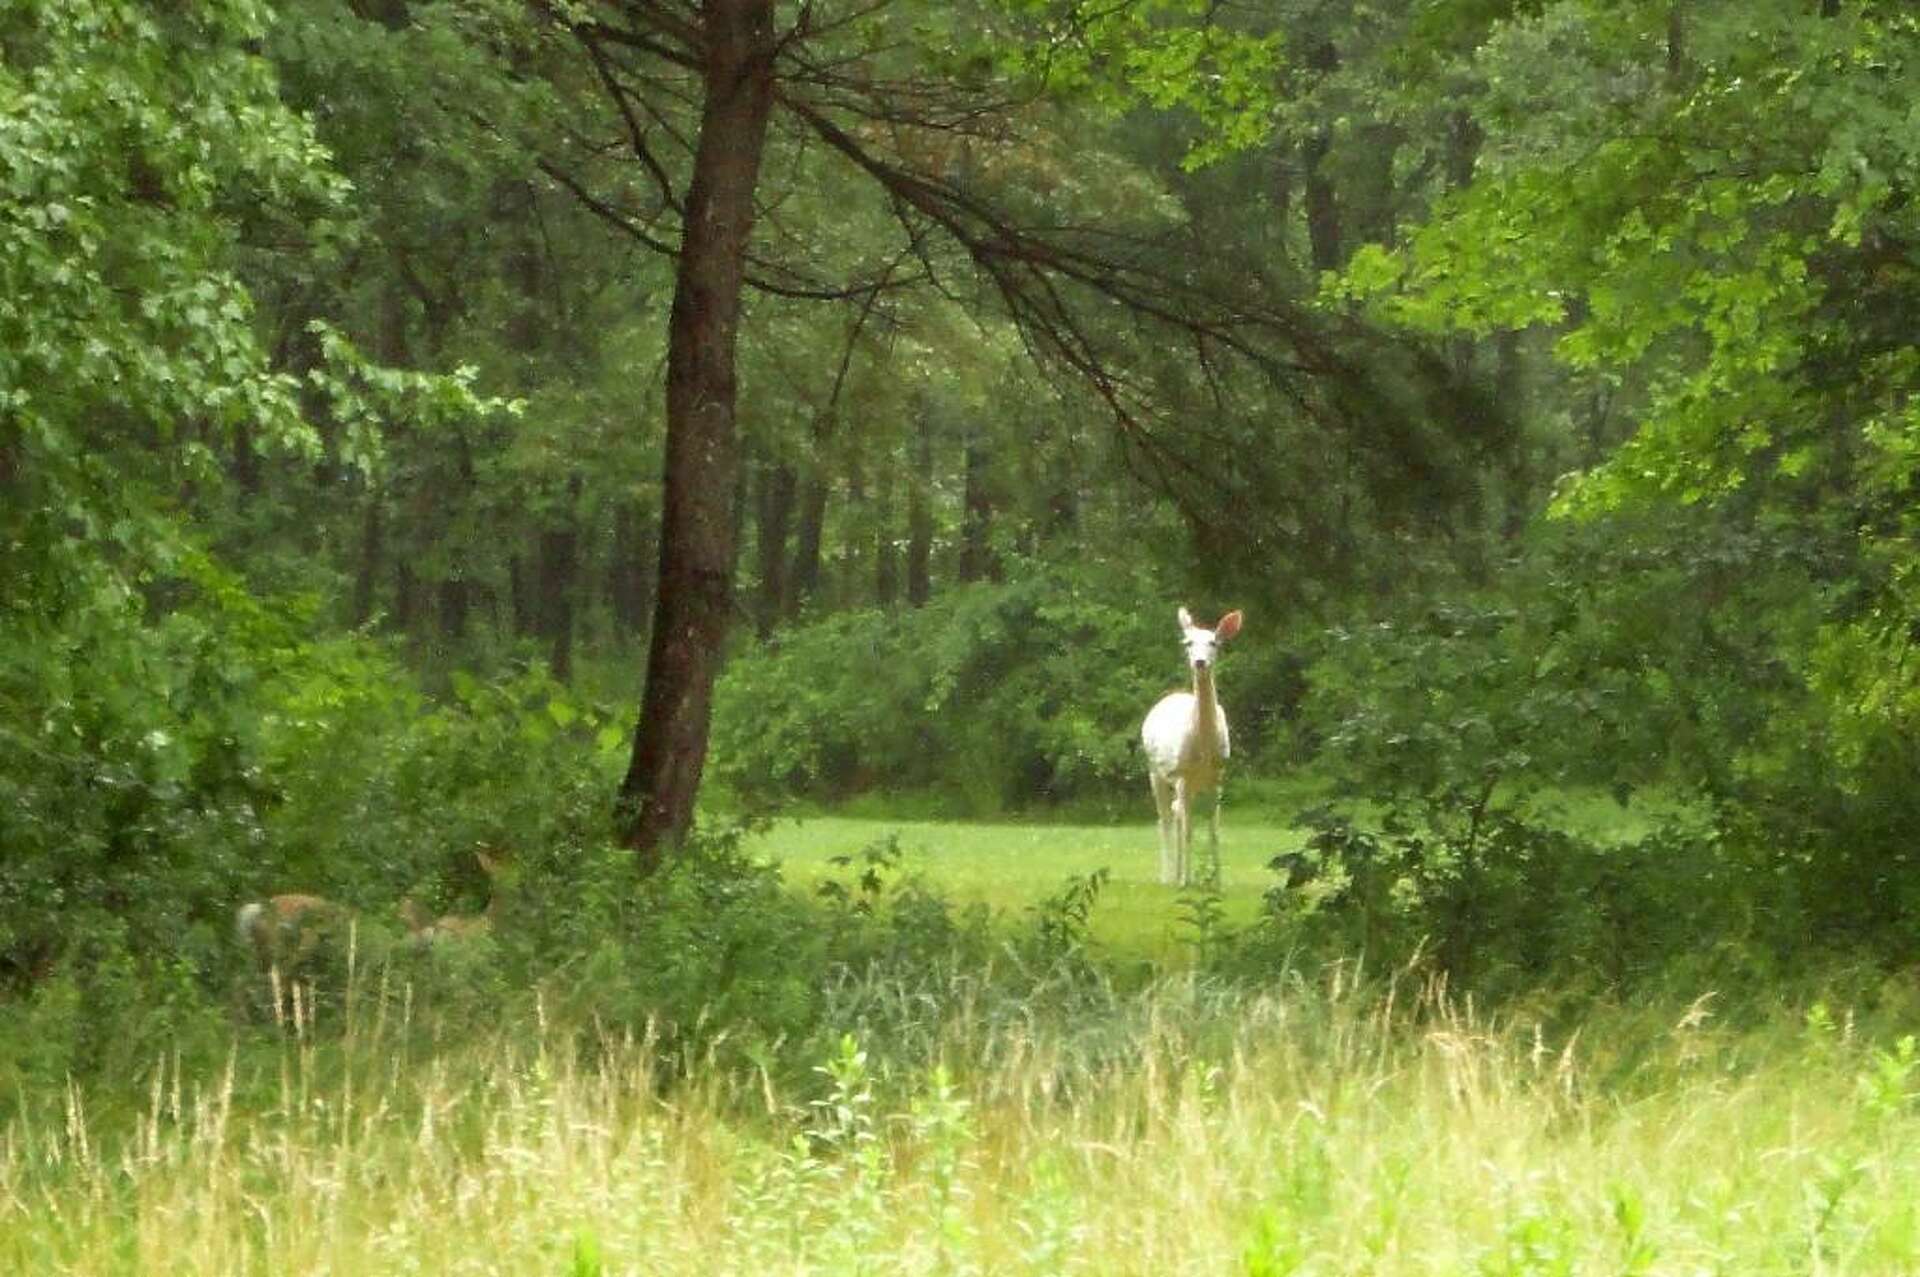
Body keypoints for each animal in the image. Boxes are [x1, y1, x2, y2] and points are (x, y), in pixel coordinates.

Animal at [1142, 606, 1243, 887]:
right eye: (1188, 642)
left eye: (1214, 642)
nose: (1199, 662)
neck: (1203, 748)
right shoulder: (1181, 773)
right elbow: (1187, 830)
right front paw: (1186, 881)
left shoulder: (1218, 776)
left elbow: (1214, 831)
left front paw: (1217, 882)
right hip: (1156, 771)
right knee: (1166, 819)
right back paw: (1169, 876)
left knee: (1177, 813)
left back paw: (1178, 873)